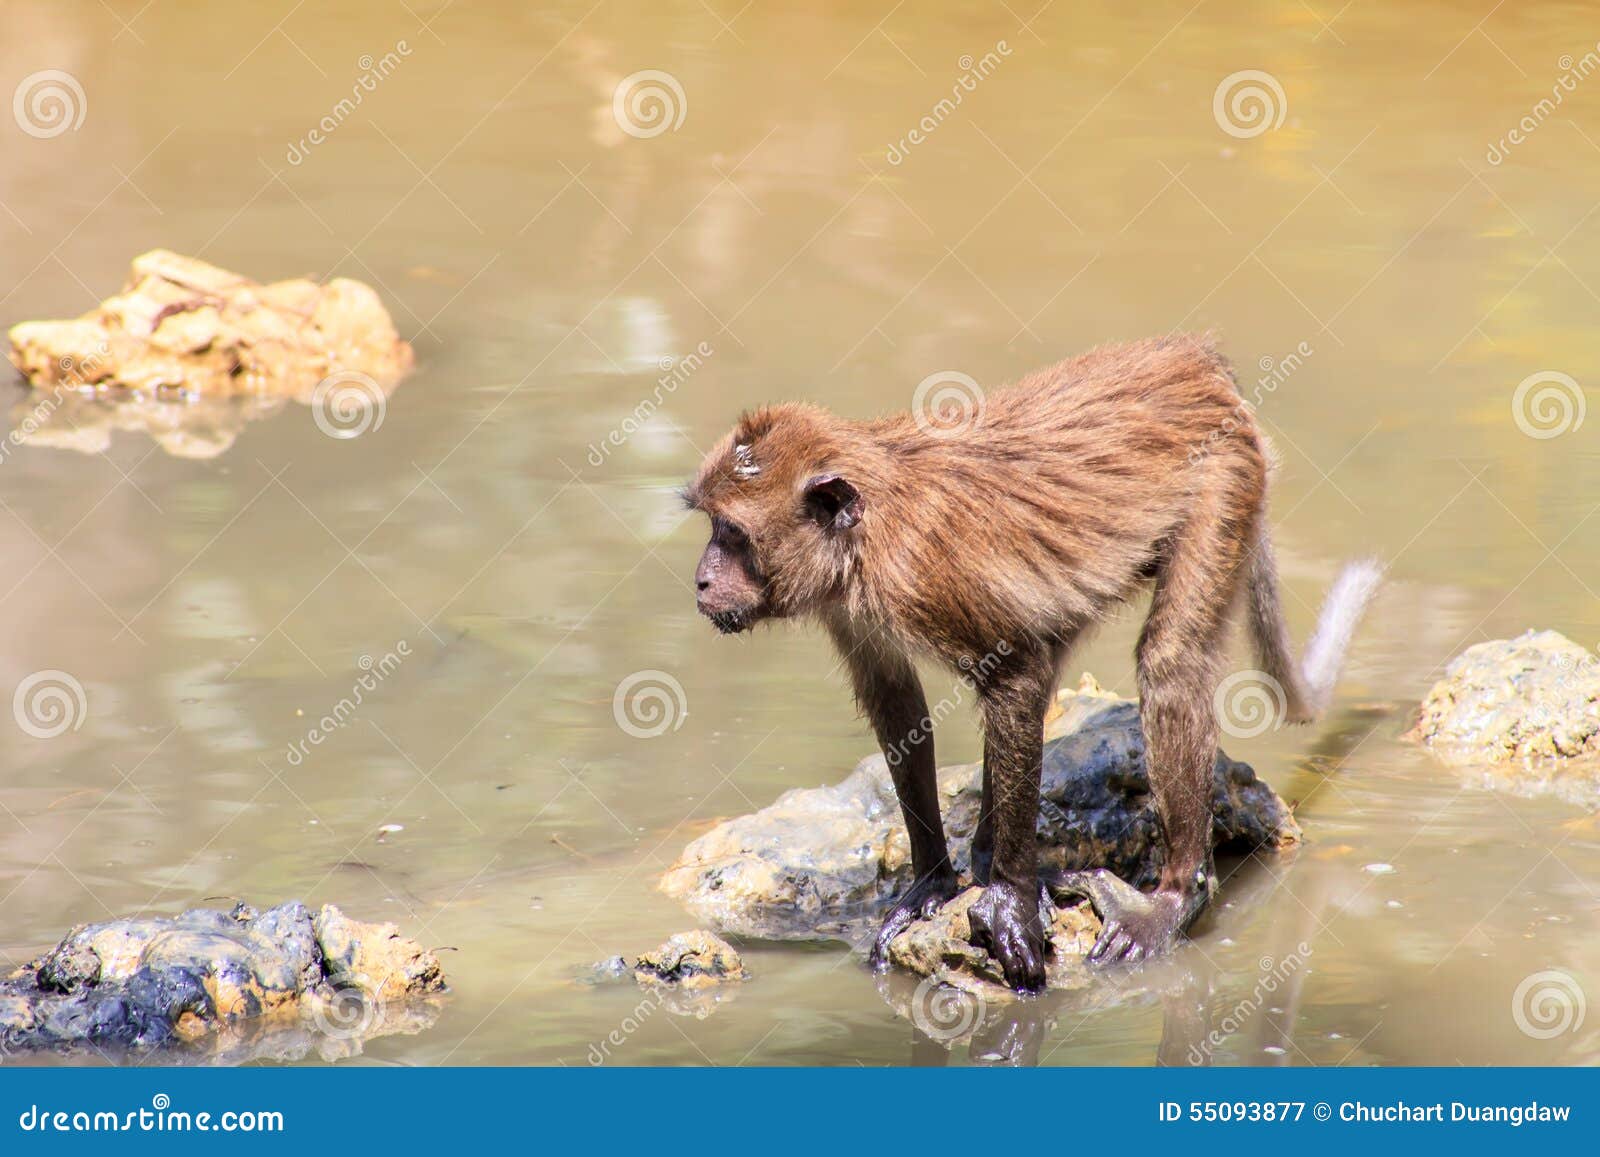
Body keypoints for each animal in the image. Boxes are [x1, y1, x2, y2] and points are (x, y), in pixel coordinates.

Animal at [683, 334, 1380, 992]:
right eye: (715, 527)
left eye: (733, 534)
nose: (700, 581)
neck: (866, 526)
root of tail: (1197, 364)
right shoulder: (846, 602)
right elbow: (899, 702)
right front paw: (934, 882)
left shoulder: (920, 575)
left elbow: (1013, 678)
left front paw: (1011, 898)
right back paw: (990, 850)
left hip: (1225, 474)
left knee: (1169, 662)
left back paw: (1176, 896)